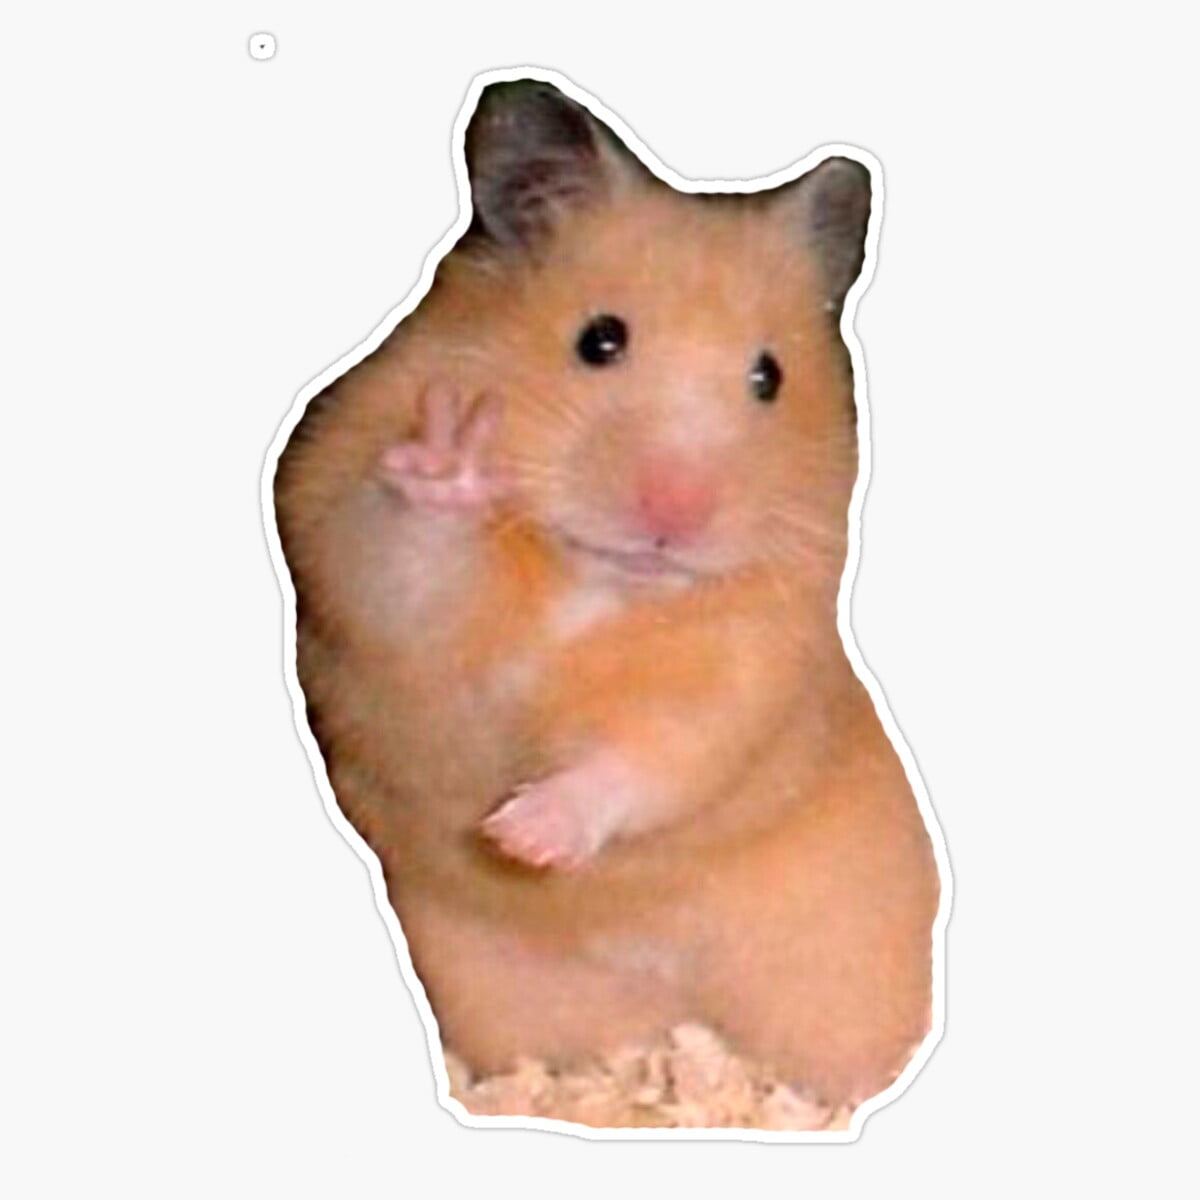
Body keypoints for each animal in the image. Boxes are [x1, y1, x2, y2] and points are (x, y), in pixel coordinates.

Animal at [273, 80, 940, 1115]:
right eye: (599, 340)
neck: (601, 581)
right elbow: (409, 559)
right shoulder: (354, 554)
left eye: (769, 377)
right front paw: (452, 460)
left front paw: (524, 837)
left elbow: (649, 759)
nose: (675, 515)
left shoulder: (746, 670)